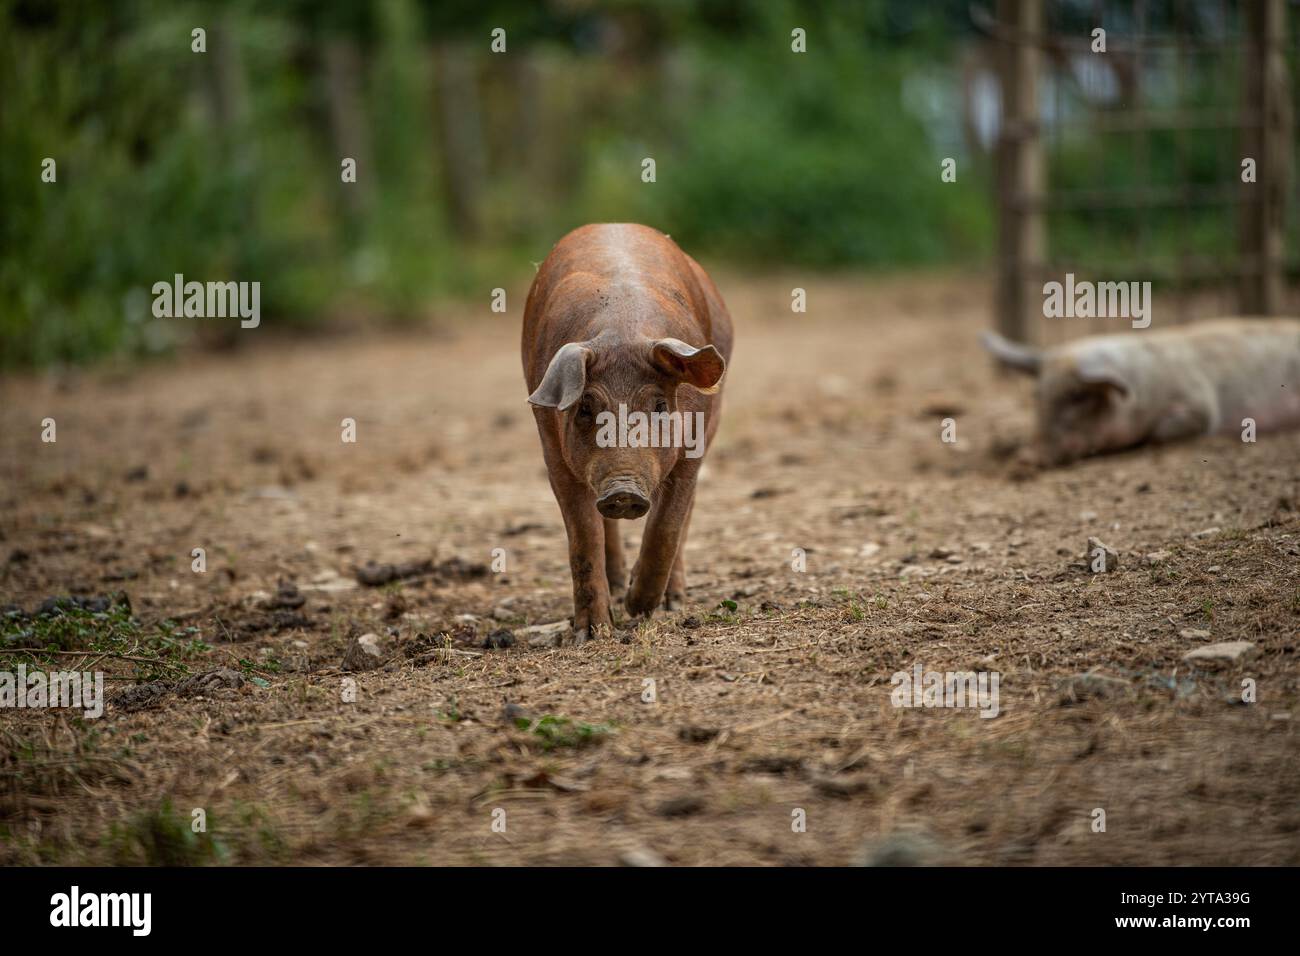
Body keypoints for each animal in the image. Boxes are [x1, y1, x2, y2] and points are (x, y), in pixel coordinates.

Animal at [523, 223, 733, 643]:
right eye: (585, 408)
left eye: (660, 406)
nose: (623, 491)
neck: (622, 327)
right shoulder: (553, 452)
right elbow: (583, 534)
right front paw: (593, 633)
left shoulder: (693, 445)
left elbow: (668, 524)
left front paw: (639, 609)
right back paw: (618, 584)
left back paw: (671, 601)